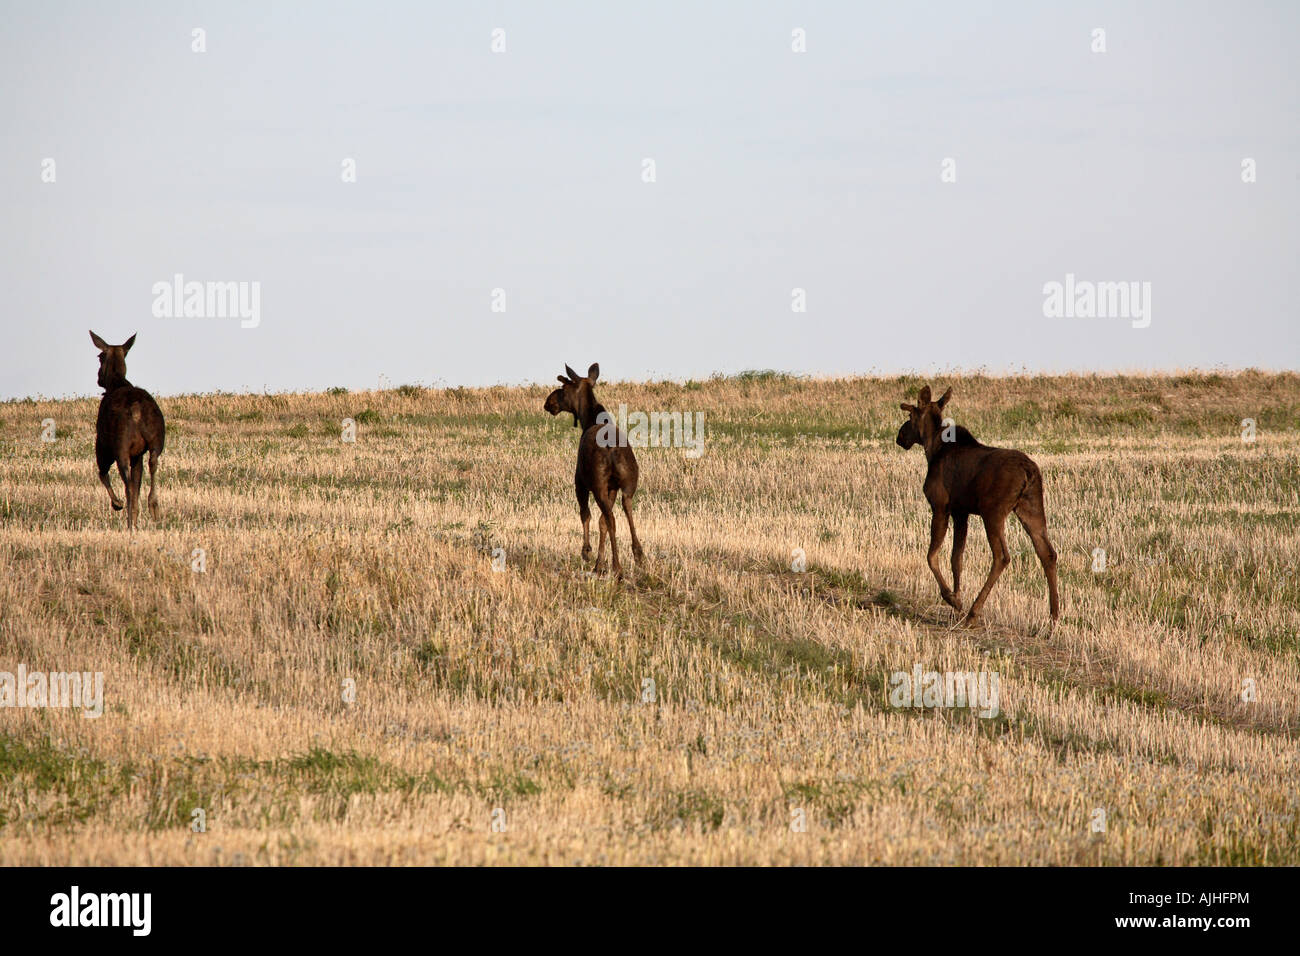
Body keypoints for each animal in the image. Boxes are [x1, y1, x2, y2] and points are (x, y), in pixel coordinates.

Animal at [90, 331, 165, 531]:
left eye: (99, 356)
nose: (98, 379)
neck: (115, 382)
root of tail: (136, 409)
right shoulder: (138, 453)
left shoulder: (102, 443)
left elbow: (102, 473)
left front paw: (117, 504)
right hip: (156, 439)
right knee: (152, 462)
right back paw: (153, 506)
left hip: (119, 444)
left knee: (125, 481)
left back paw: (129, 516)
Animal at [544, 363, 643, 579]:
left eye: (563, 388)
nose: (548, 402)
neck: (586, 419)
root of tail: (613, 449)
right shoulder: (612, 488)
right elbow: (601, 523)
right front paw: (599, 564)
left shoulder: (579, 483)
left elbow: (586, 515)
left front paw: (587, 552)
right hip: (628, 483)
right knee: (626, 508)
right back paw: (638, 553)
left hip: (597, 485)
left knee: (611, 518)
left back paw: (617, 566)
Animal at [896, 385, 1059, 626]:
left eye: (910, 416)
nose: (899, 436)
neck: (931, 448)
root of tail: (1029, 472)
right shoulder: (961, 512)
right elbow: (956, 558)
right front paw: (957, 602)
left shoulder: (941, 506)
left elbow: (932, 556)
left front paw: (952, 599)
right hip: (1032, 507)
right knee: (1048, 553)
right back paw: (1054, 616)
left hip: (993, 511)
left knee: (1002, 556)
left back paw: (974, 612)